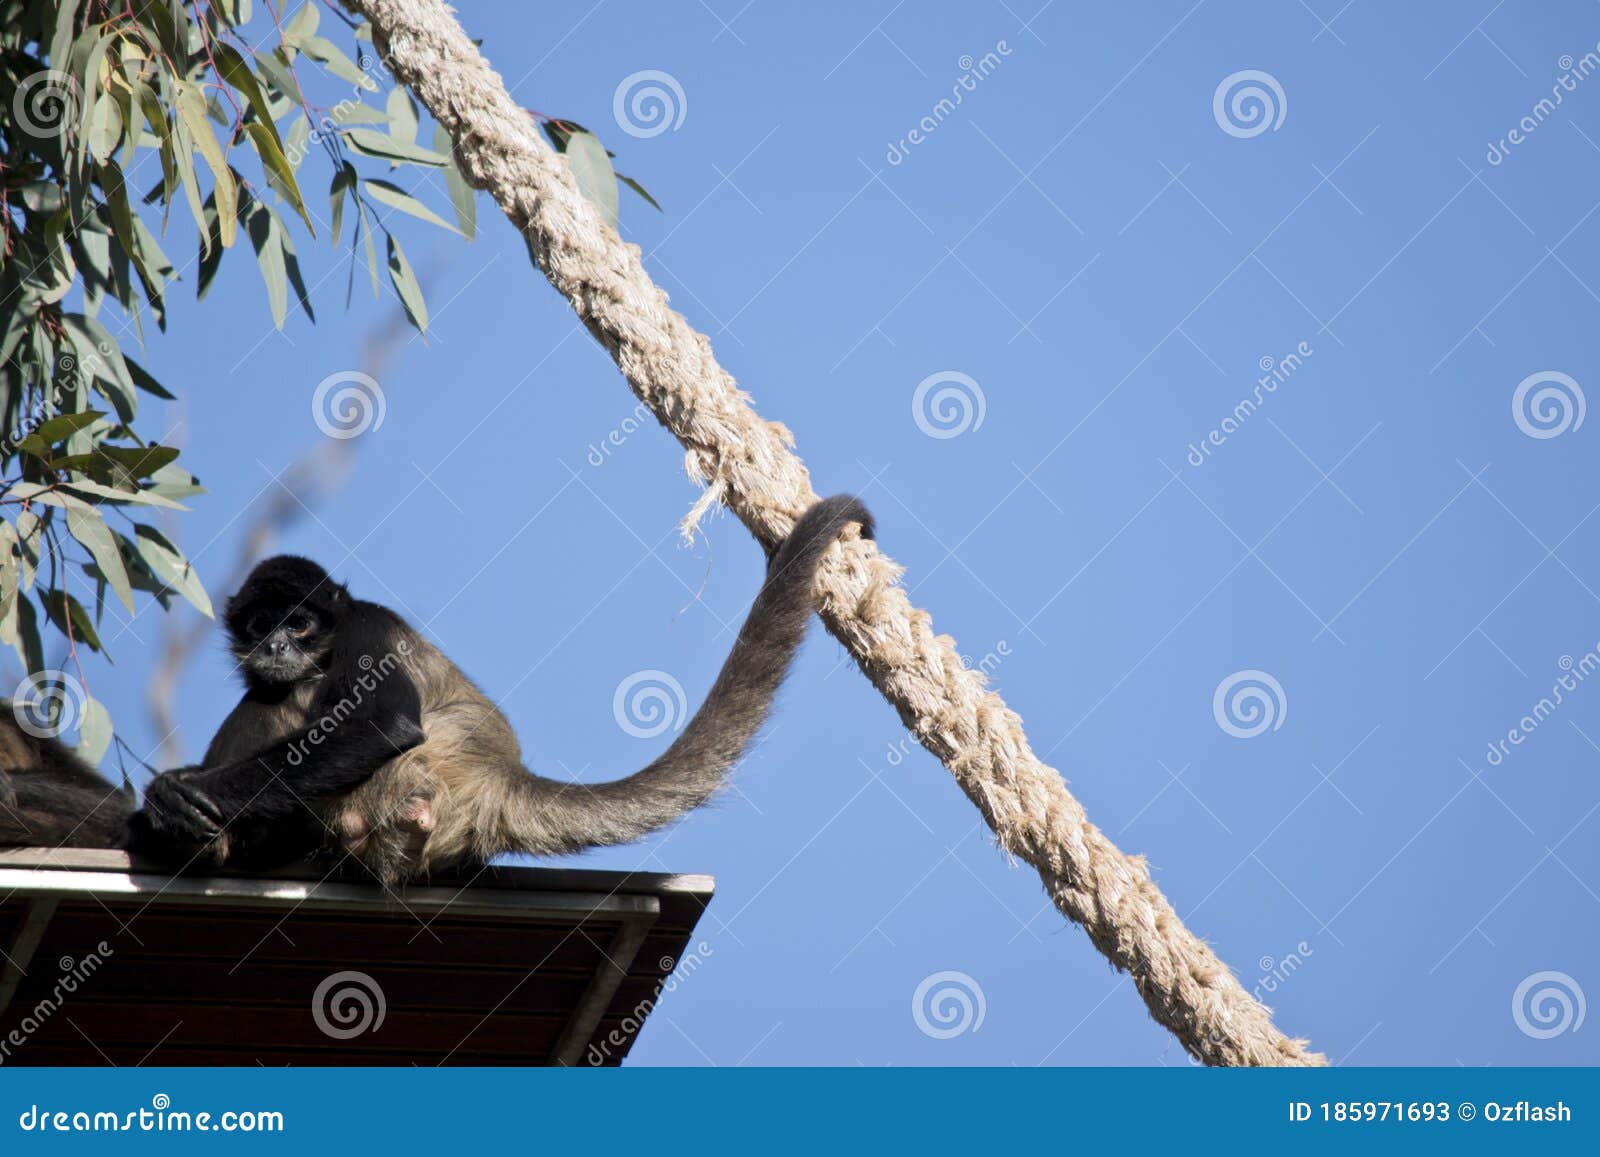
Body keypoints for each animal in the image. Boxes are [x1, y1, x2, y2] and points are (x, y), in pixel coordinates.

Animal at [130, 494, 873, 884]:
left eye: (301, 623)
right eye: (262, 625)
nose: (278, 647)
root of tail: (499, 776)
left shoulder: (366, 624)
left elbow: (387, 724)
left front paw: (176, 794)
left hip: (405, 787)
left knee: (276, 699)